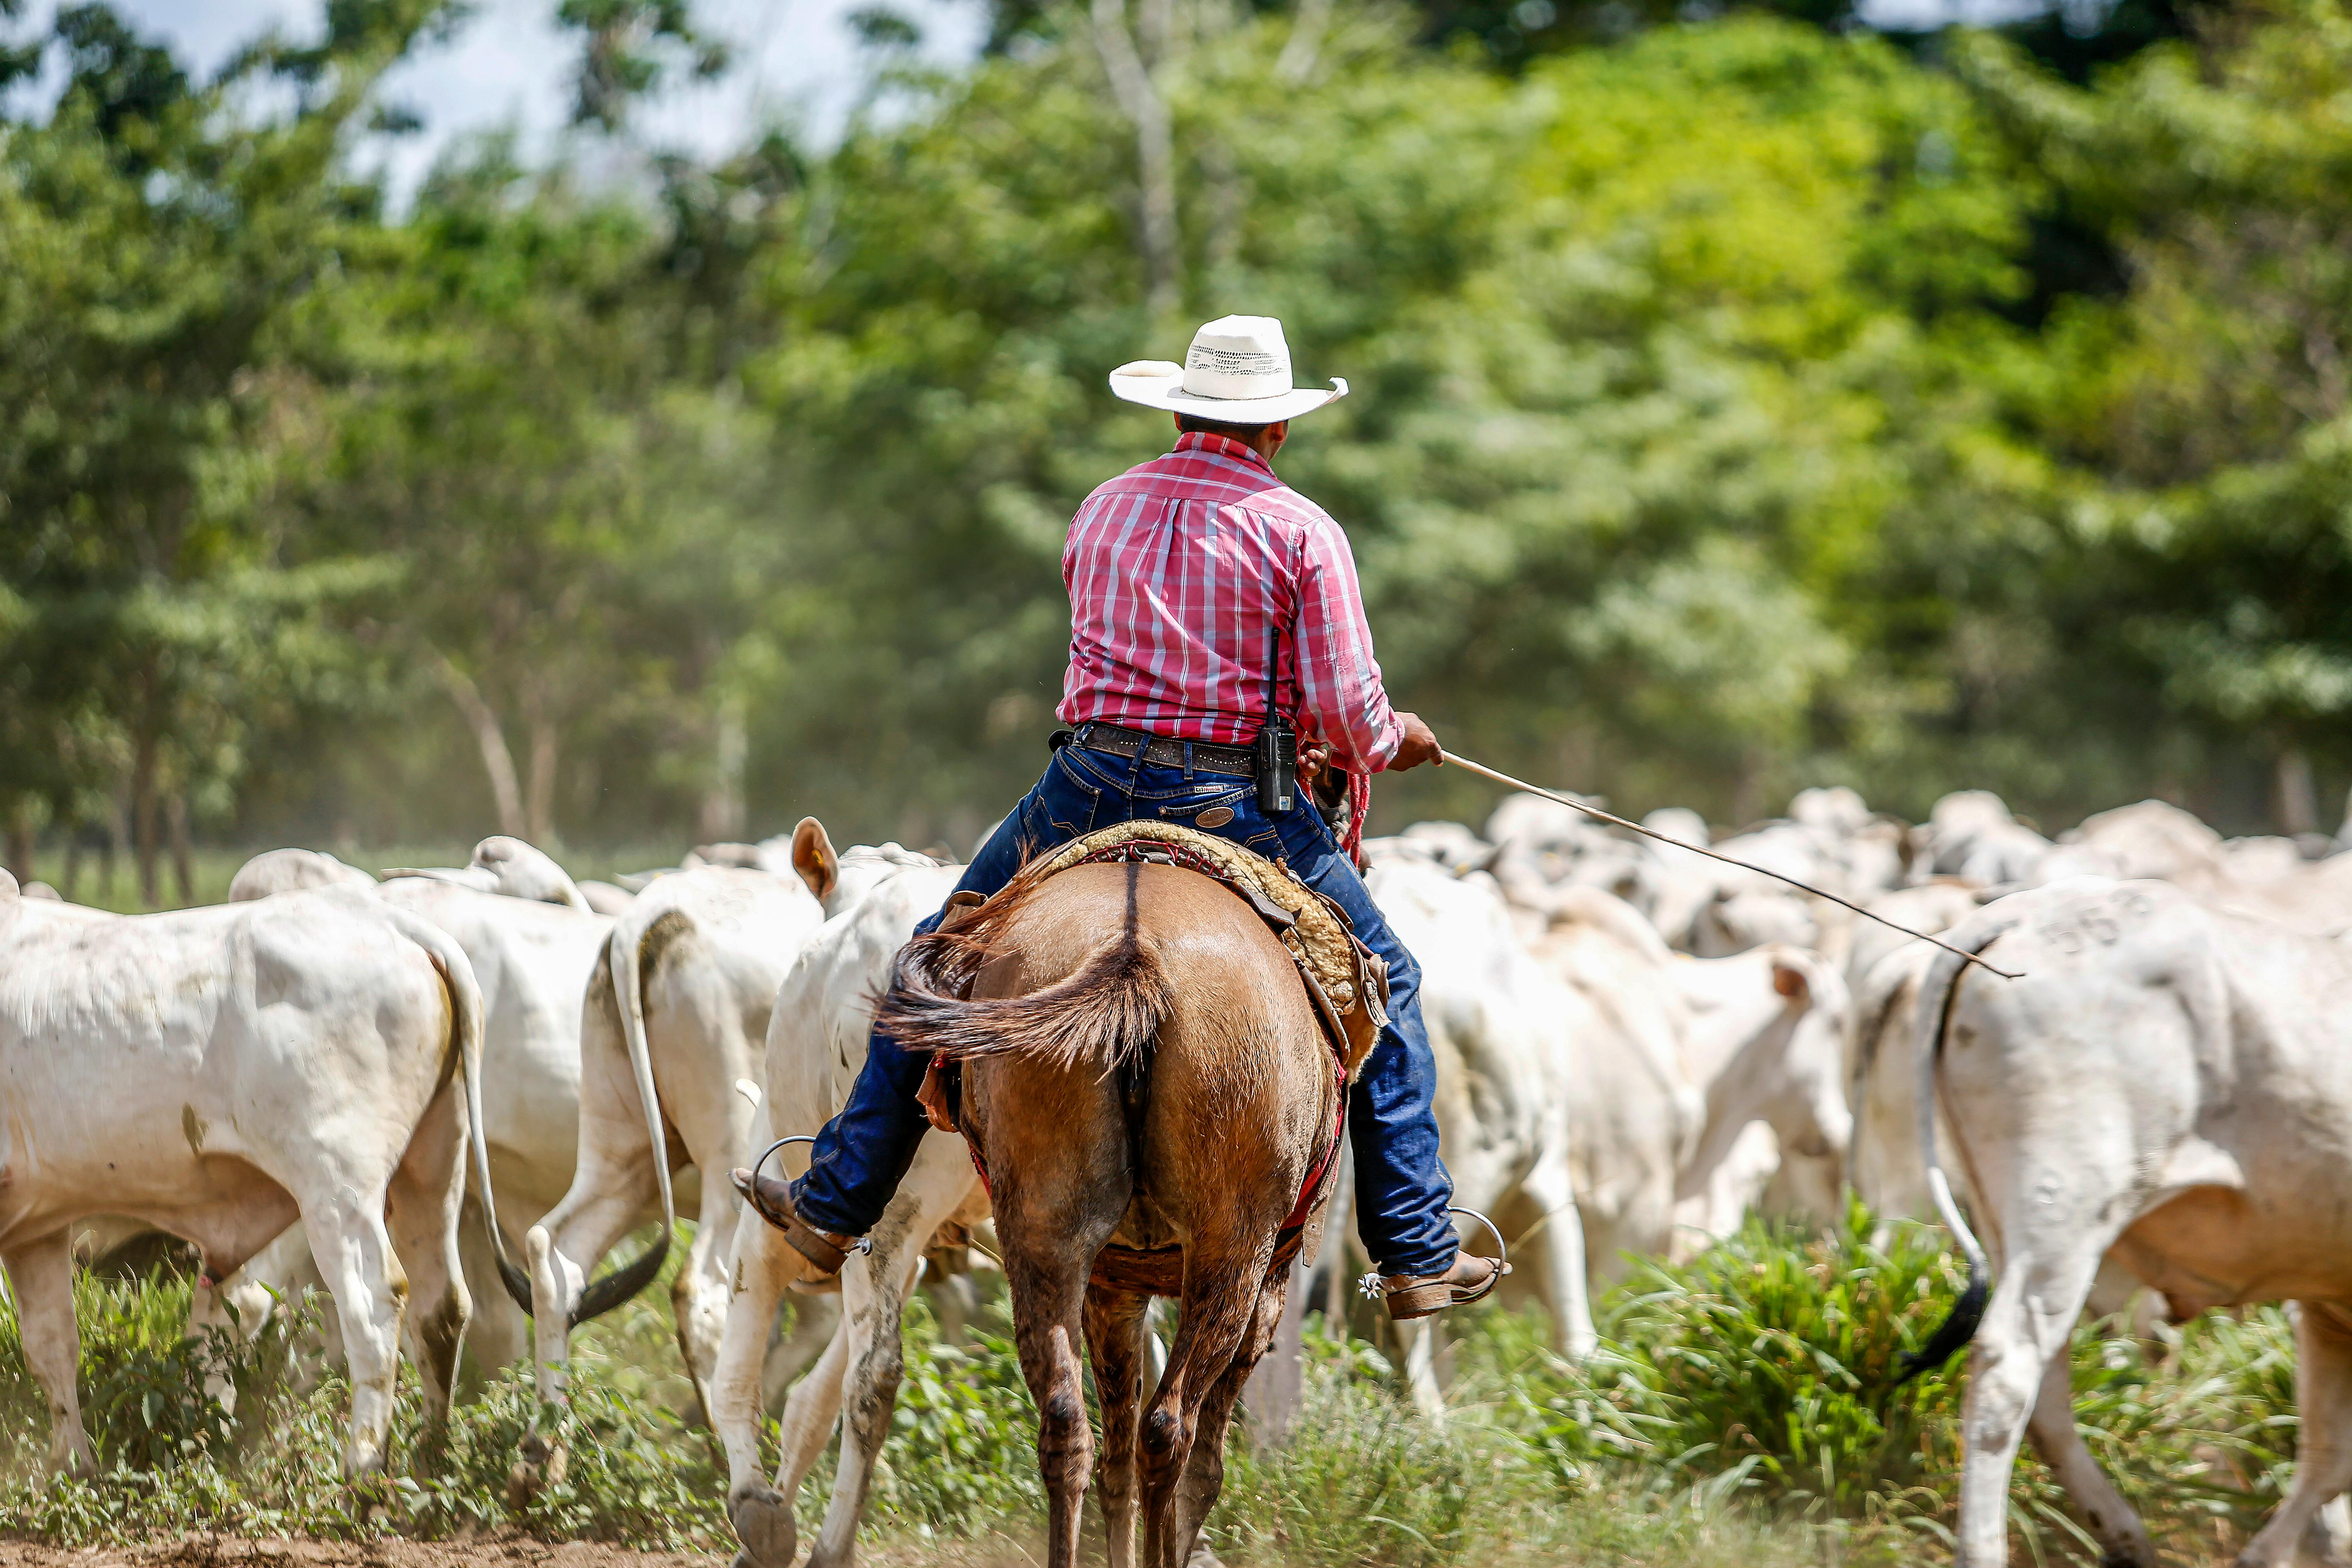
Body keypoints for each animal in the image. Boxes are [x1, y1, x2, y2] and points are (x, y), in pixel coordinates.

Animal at [0, 872, 510, 1478]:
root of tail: (397, 925)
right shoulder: (38, 1229)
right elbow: (52, 1345)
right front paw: (72, 1467)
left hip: (336, 1183)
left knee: (374, 1305)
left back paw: (362, 1466)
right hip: (435, 1167)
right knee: (443, 1308)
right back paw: (431, 1458)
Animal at [1912, 878, 2352, 1567]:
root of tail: (2023, 909)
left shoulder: (2329, 1309)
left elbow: (2329, 1458)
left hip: (2016, 1232)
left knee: (2045, 1397)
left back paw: (2125, 1534)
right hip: (2066, 1210)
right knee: (2008, 1374)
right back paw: (1987, 1549)